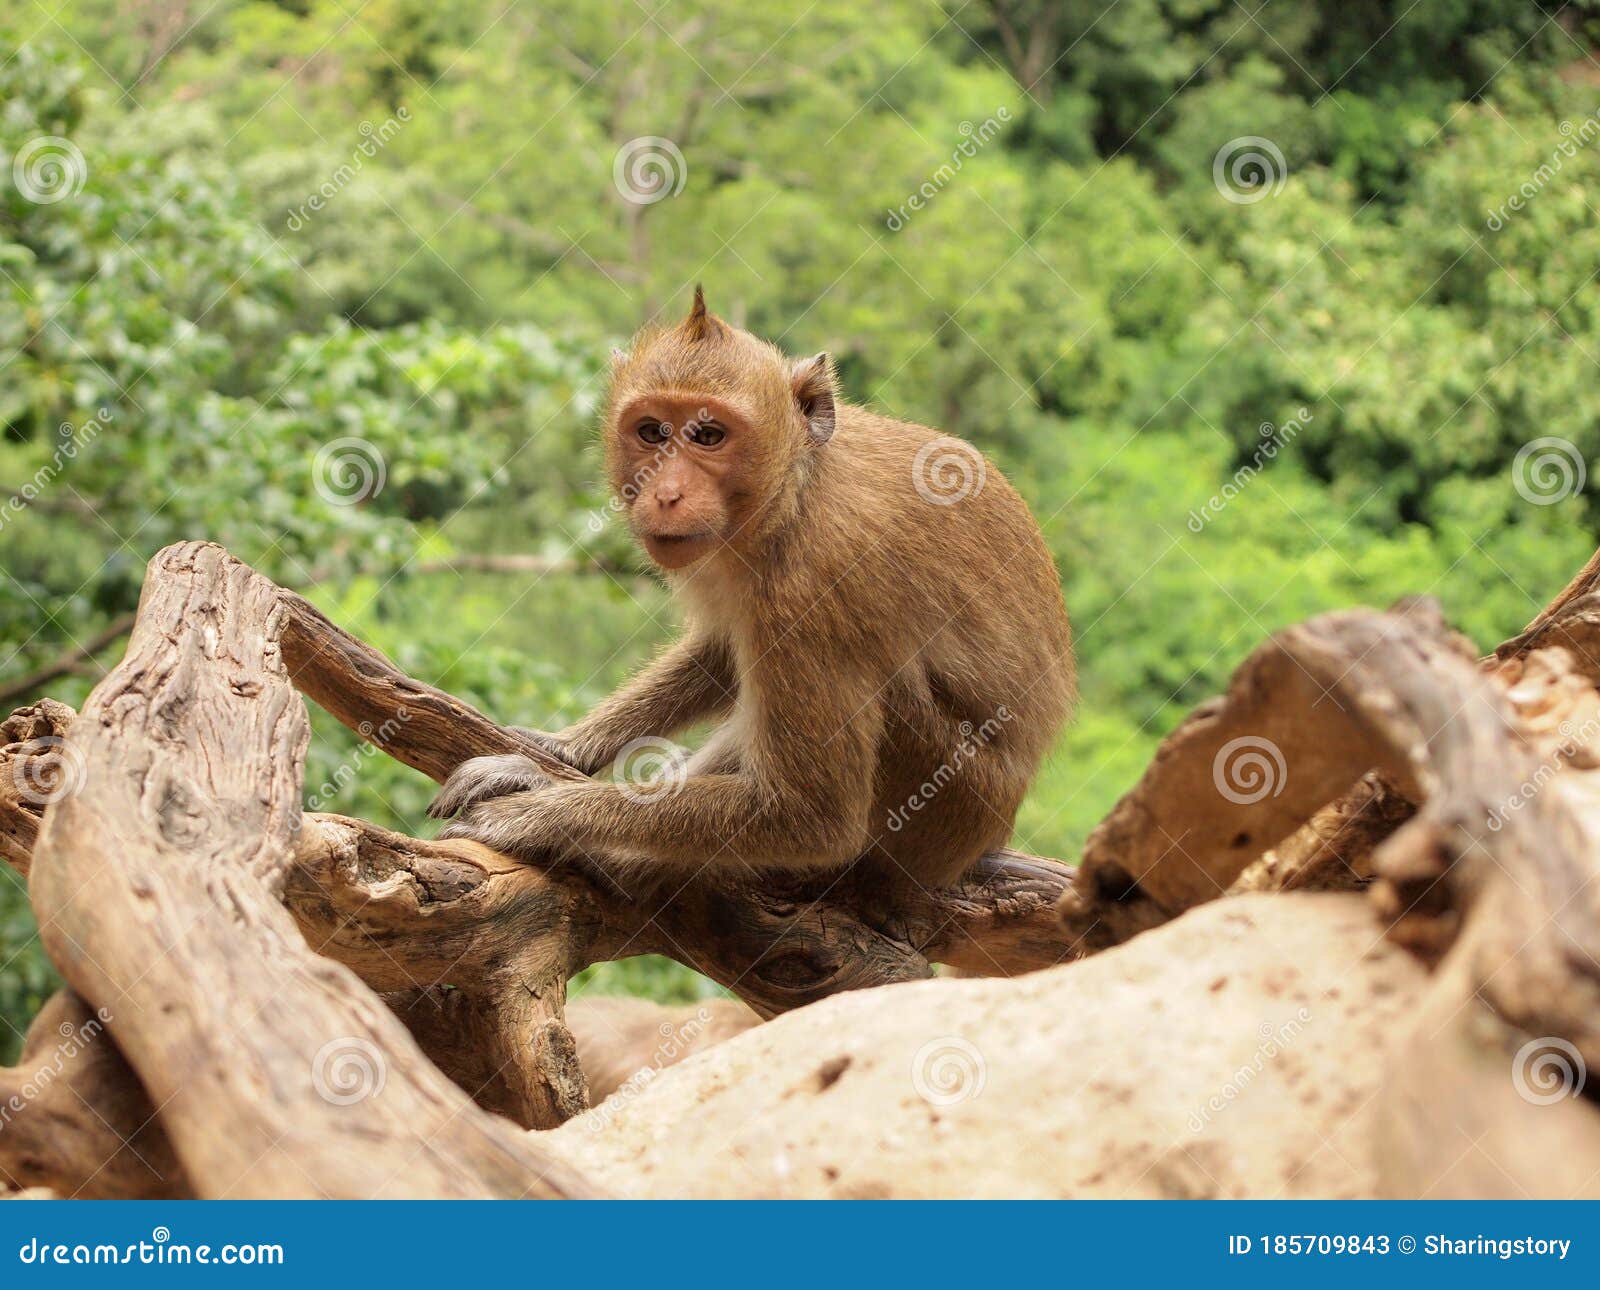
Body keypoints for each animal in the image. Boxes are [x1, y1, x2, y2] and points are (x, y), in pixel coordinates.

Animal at [429, 287, 1074, 892]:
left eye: (708, 435)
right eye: (652, 432)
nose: (664, 493)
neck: (794, 492)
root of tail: (990, 835)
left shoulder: (819, 587)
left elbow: (812, 817)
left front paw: (542, 813)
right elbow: (721, 652)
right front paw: (560, 749)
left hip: (948, 800)